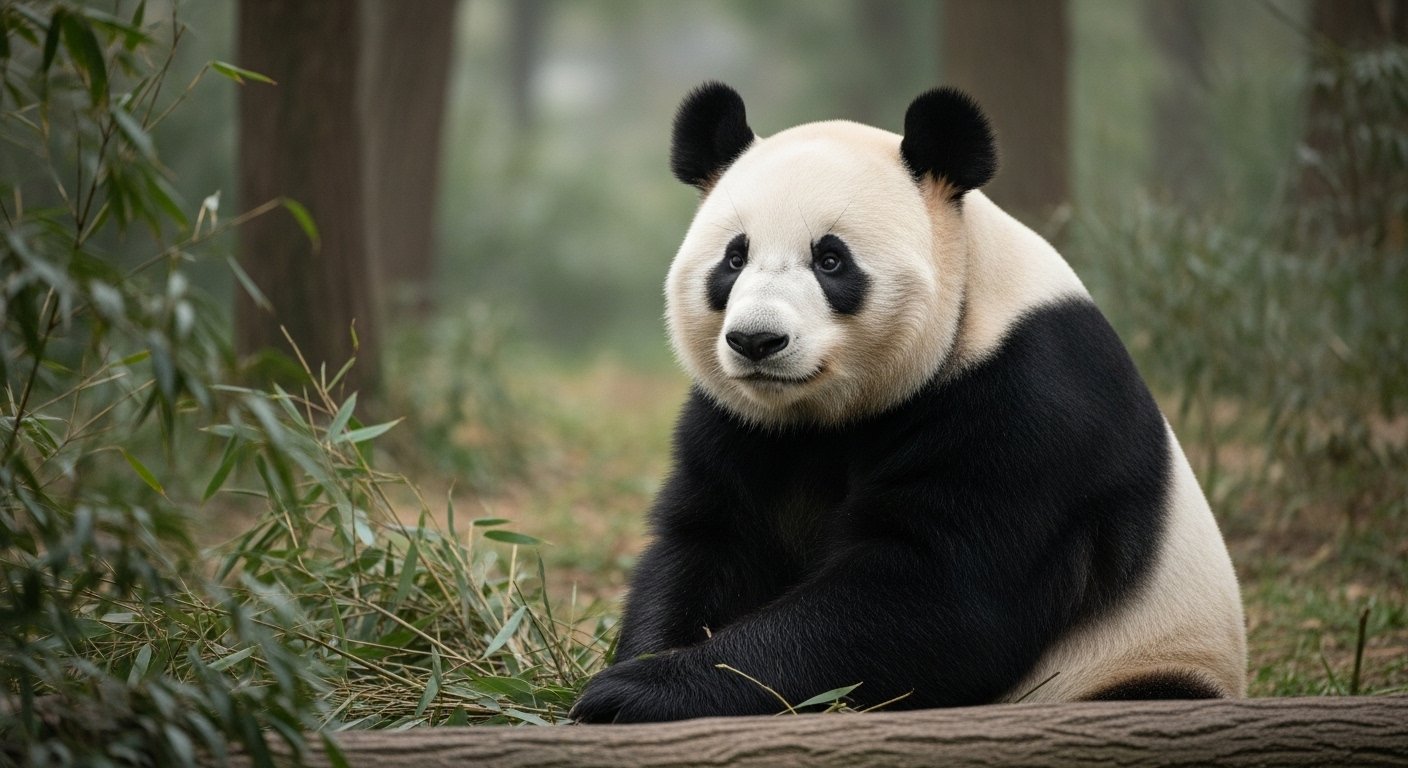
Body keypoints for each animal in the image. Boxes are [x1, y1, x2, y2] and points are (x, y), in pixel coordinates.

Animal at [570, 83, 1246, 724]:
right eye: (734, 259)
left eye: (831, 259)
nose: (757, 341)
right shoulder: (742, 422)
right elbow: (712, 542)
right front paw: (635, 668)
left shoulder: (1028, 401)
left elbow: (933, 593)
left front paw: (635, 693)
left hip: (1137, 655)